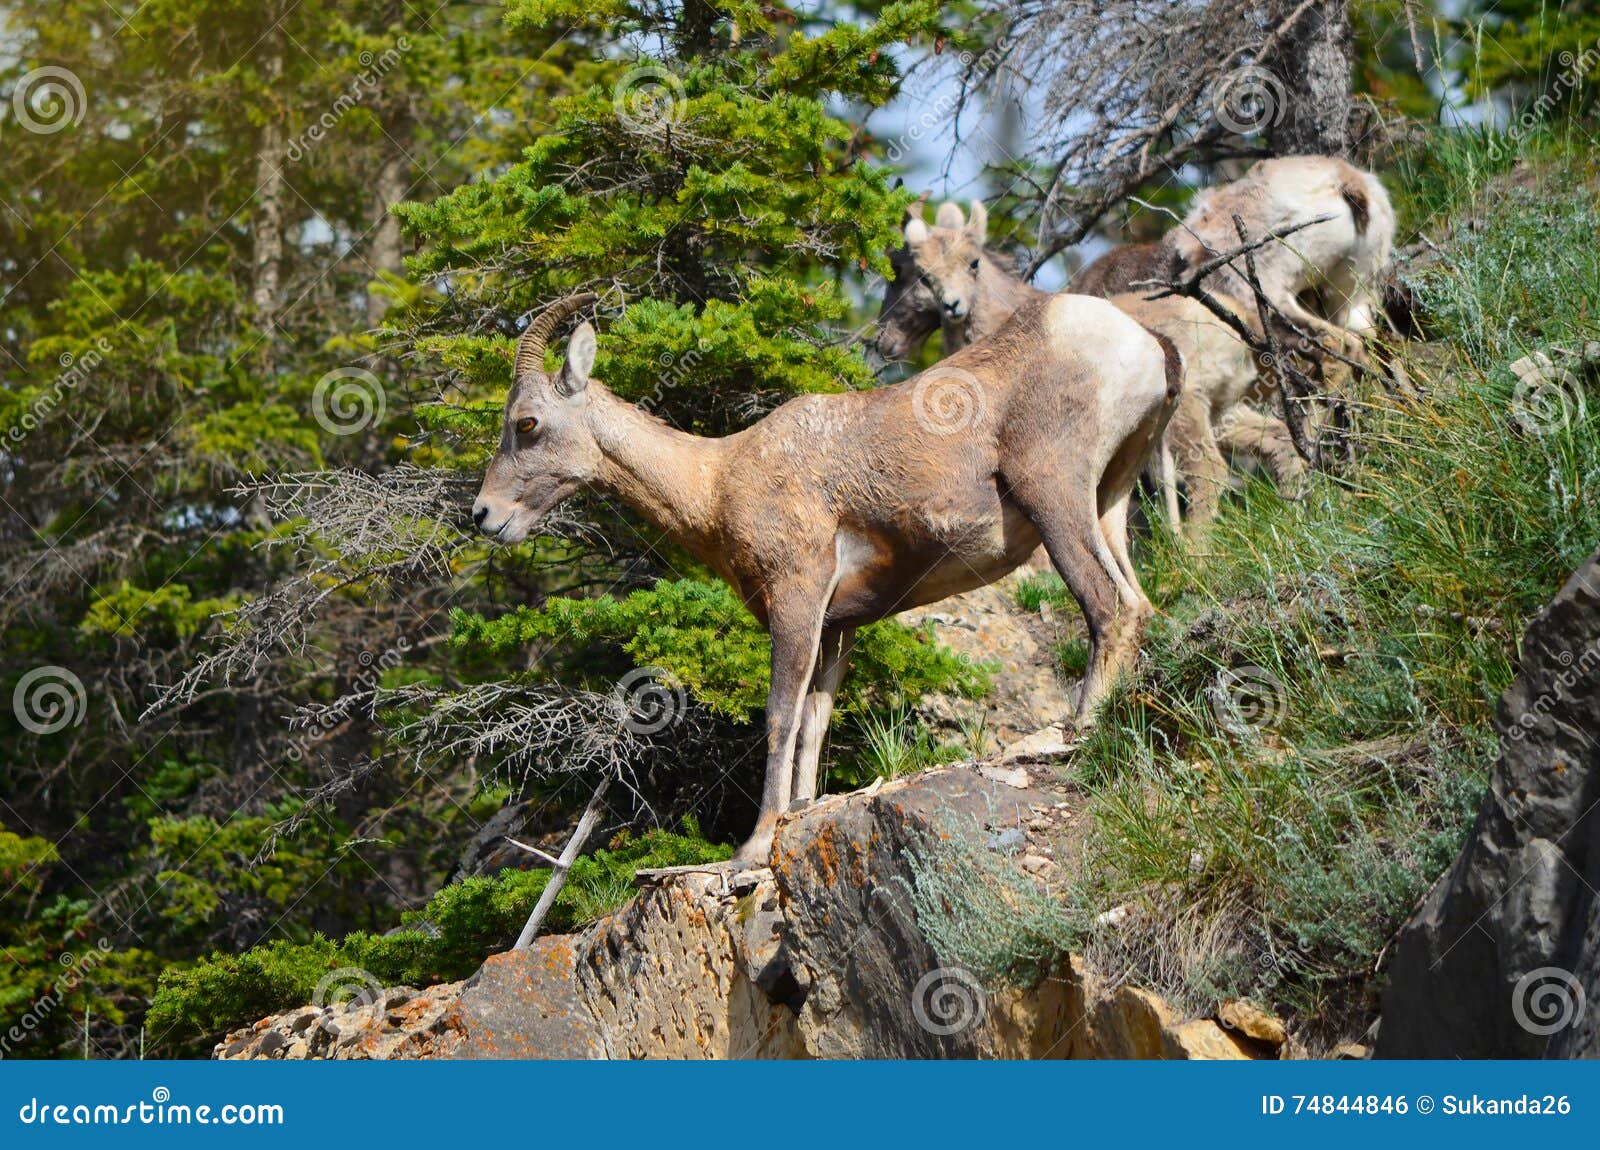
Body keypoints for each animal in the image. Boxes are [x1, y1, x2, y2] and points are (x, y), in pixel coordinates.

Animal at [474, 293, 1180, 862]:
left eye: (527, 423)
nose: (485, 515)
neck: (718, 480)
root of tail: (1143, 343)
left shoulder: (798, 599)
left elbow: (780, 716)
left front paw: (754, 845)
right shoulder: (840, 628)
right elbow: (815, 722)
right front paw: (799, 814)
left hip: (1054, 492)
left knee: (1108, 604)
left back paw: (1077, 732)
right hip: (1110, 500)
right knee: (1138, 602)